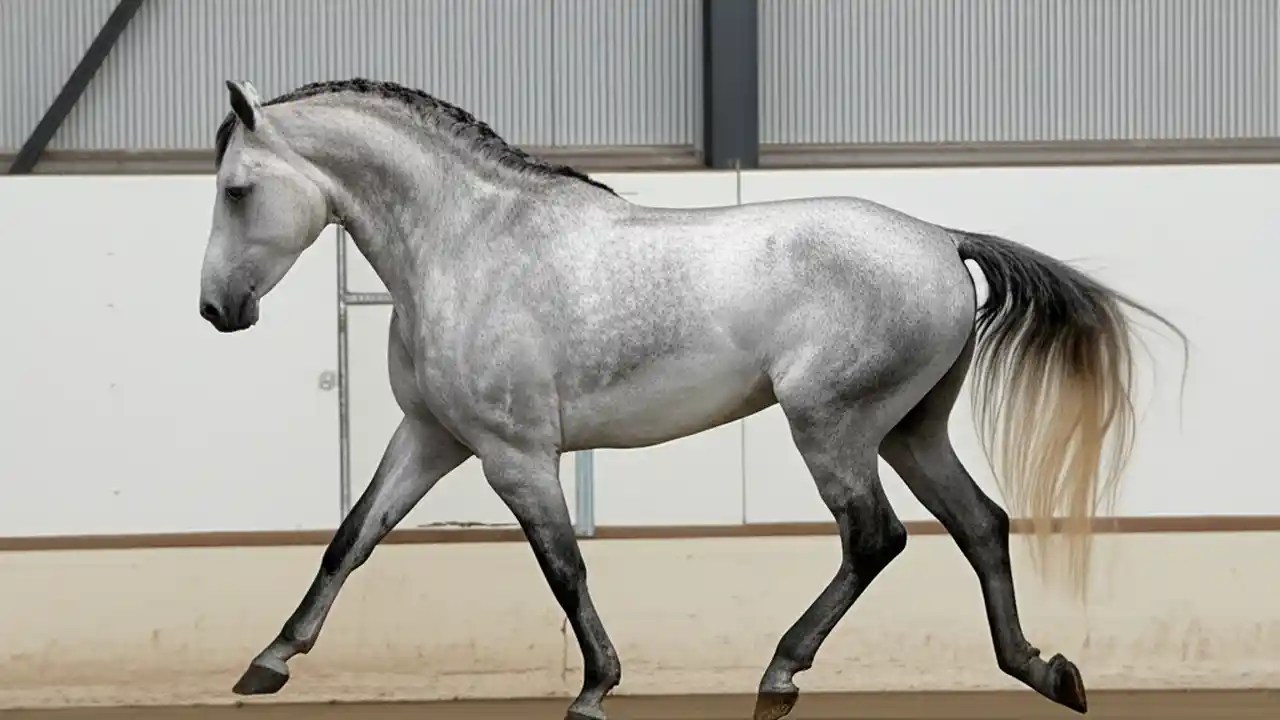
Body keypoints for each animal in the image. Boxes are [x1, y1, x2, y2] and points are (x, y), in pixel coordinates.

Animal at [198, 78, 1184, 720]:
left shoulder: (514, 456)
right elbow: (352, 539)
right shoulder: (431, 436)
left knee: (876, 538)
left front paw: (595, 689)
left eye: (237, 190)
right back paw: (1043, 671)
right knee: (980, 524)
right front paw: (267, 664)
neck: (472, 245)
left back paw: (781, 678)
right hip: (909, 428)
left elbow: (564, 568)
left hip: (832, 426)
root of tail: (940, 239)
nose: (216, 309)